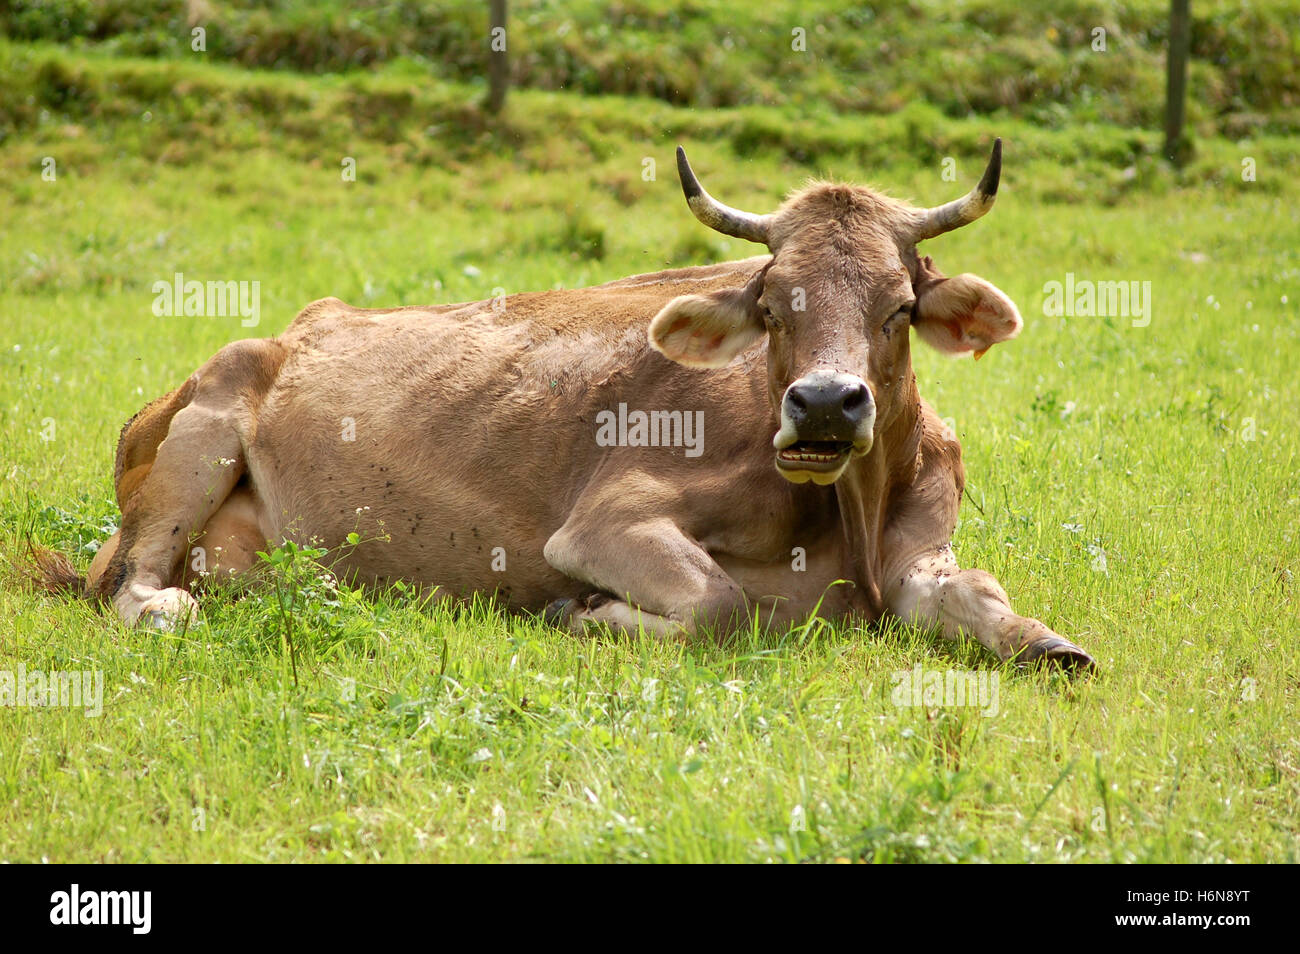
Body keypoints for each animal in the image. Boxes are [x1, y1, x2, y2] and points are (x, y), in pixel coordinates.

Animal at [33, 140, 1094, 670]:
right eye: (770, 302)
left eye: (900, 305)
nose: (826, 404)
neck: (845, 523)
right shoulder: (606, 521)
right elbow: (719, 607)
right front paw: (584, 617)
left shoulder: (922, 553)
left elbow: (979, 595)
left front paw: (1048, 642)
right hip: (200, 436)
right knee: (130, 589)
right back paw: (171, 606)